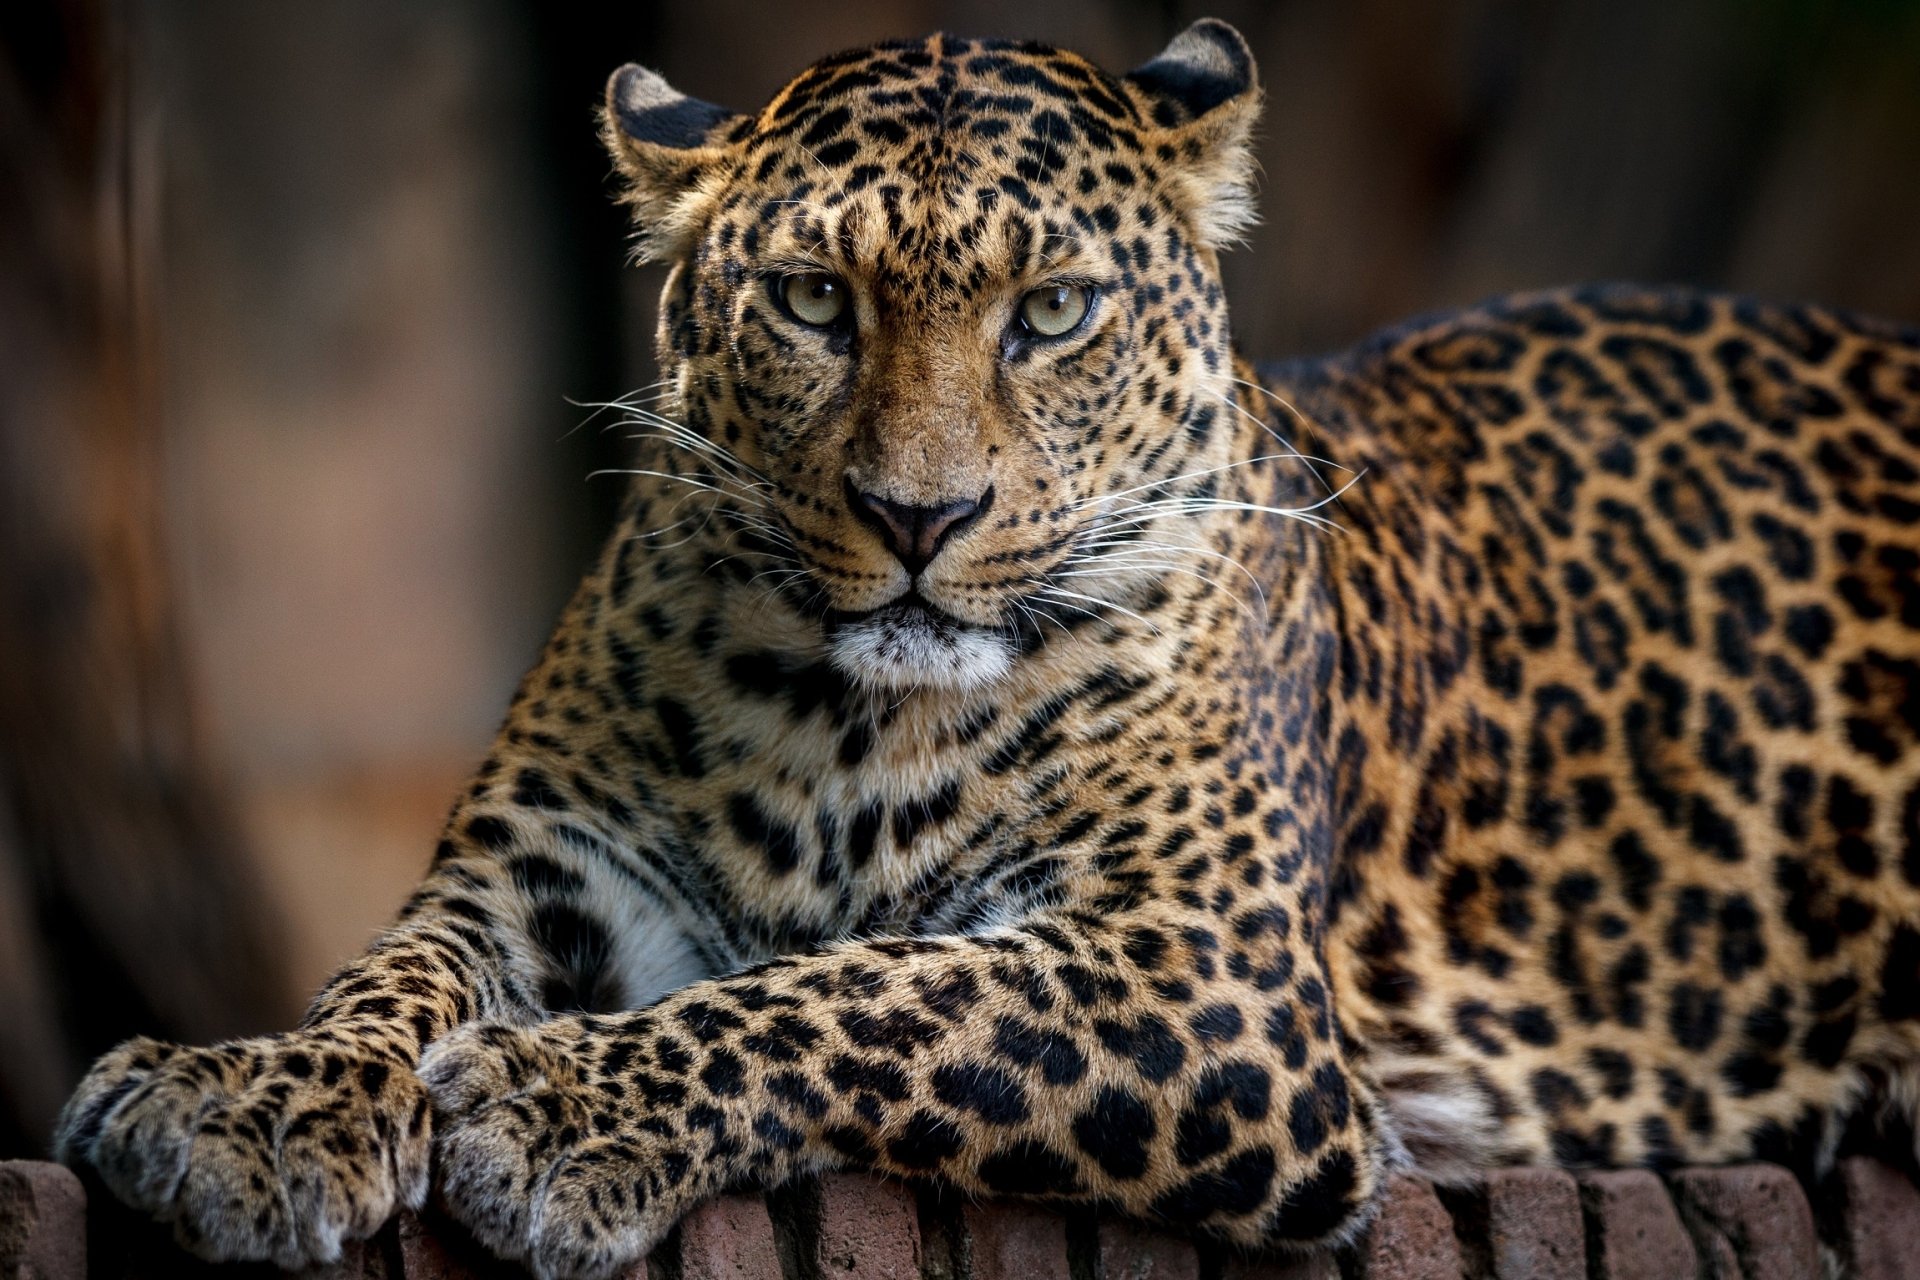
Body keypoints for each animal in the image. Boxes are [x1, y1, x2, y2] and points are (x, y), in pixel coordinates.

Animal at [53, 18, 1920, 1280]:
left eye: (1055, 313)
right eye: (815, 301)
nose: (919, 517)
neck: (845, 726)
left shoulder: (1210, 981)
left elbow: (880, 992)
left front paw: (560, 1105)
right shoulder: (546, 868)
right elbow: (389, 976)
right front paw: (250, 1099)